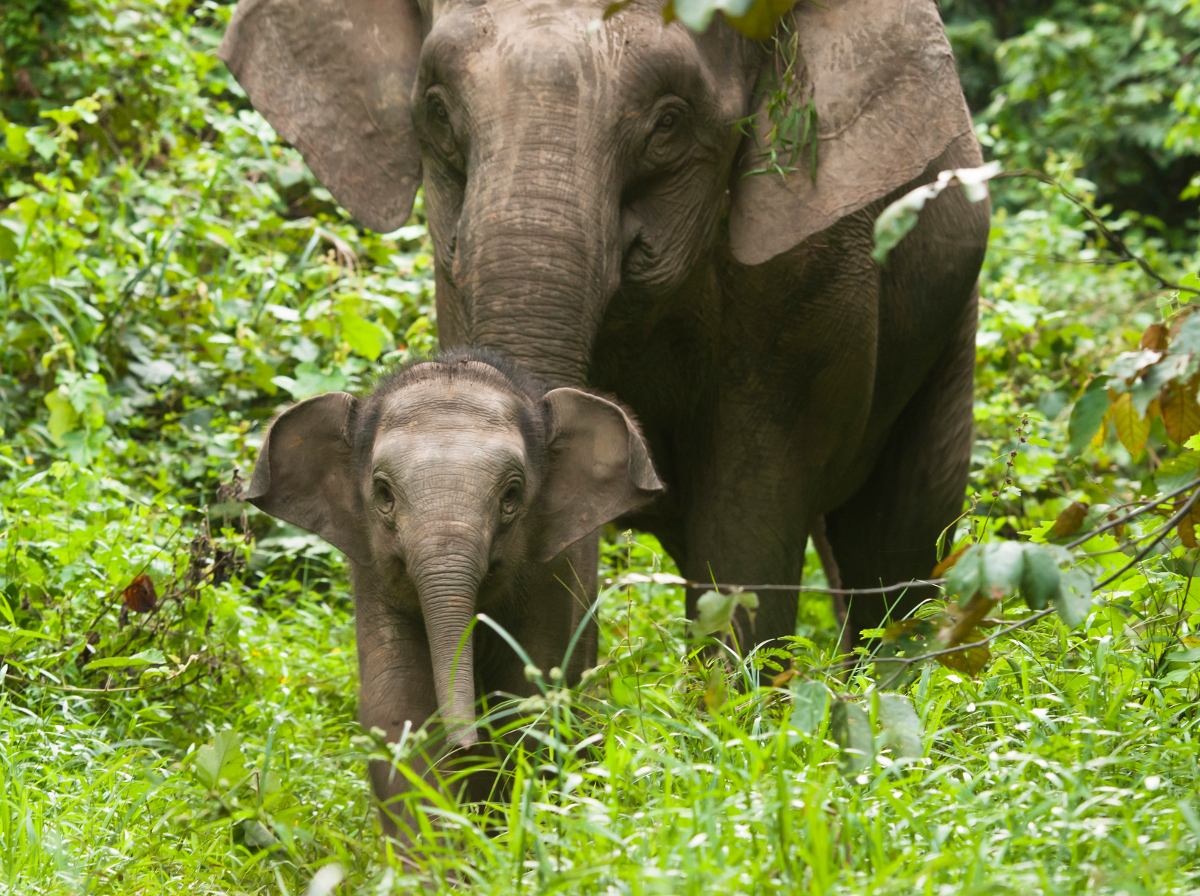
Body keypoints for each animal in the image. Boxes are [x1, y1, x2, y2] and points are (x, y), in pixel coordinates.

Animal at [246, 351, 662, 832]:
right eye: (383, 494)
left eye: (511, 495)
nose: (466, 743)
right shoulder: (374, 579)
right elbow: (397, 706)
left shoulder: (550, 577)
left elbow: (527, 701)